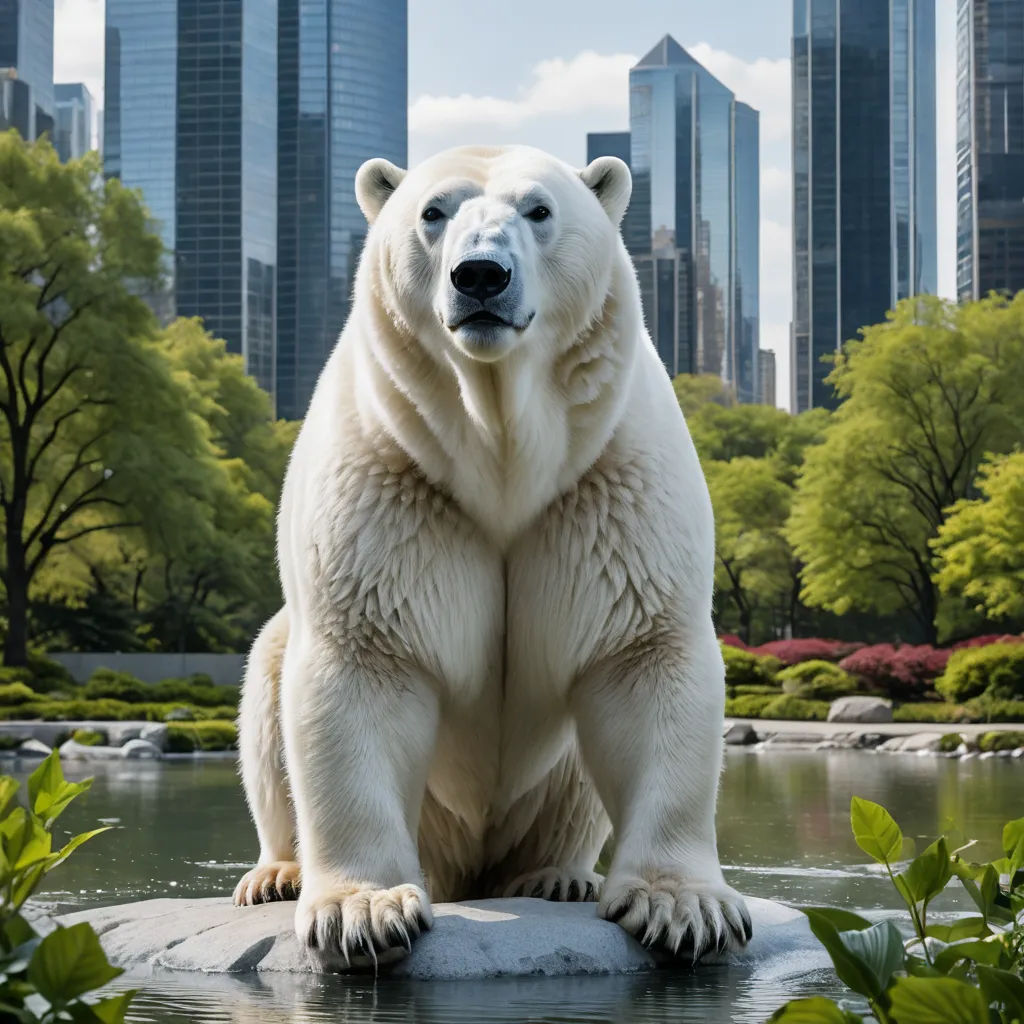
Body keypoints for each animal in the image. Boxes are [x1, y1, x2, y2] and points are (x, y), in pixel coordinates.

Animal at [233, 144, 751, 970]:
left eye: (539, 210)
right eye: (431, 211)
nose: (480, 275)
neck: (499, 448)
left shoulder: (608, 482)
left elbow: (641, 656)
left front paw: (683, 908)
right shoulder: (392, 483)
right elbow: (360, 663)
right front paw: (363, 913)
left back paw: (554, 877)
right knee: (269, 678)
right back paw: (277, 874)